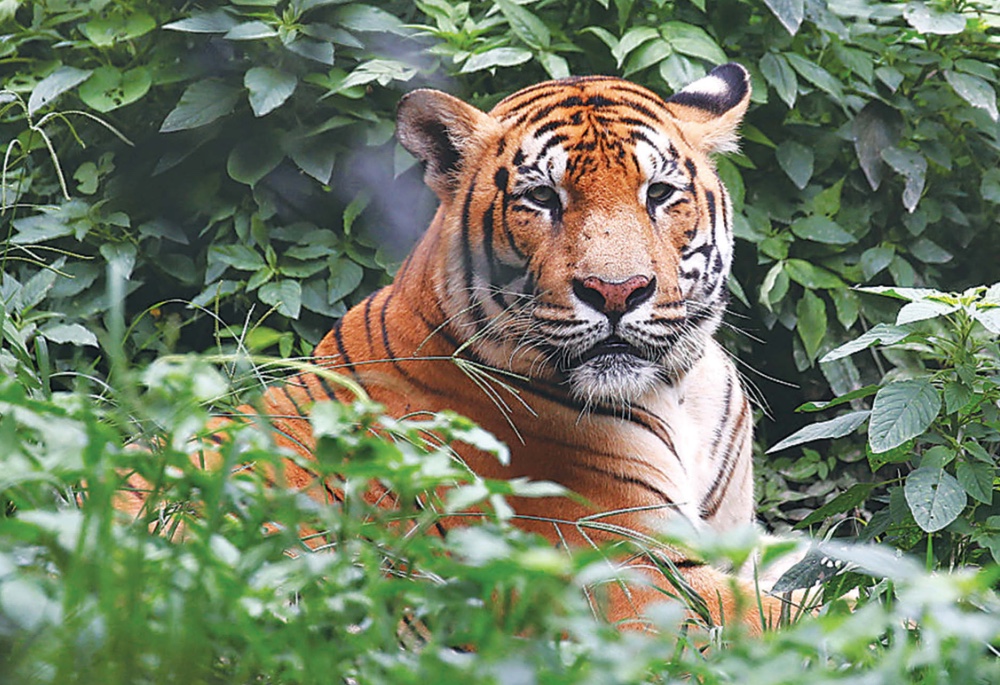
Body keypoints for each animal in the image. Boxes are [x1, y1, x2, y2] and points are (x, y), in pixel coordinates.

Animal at [120, 62, 790, 631]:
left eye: (659, 194)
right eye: (542, 198)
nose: (616, 291)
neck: (679, 391)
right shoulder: (627, 575)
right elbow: (793, 617)